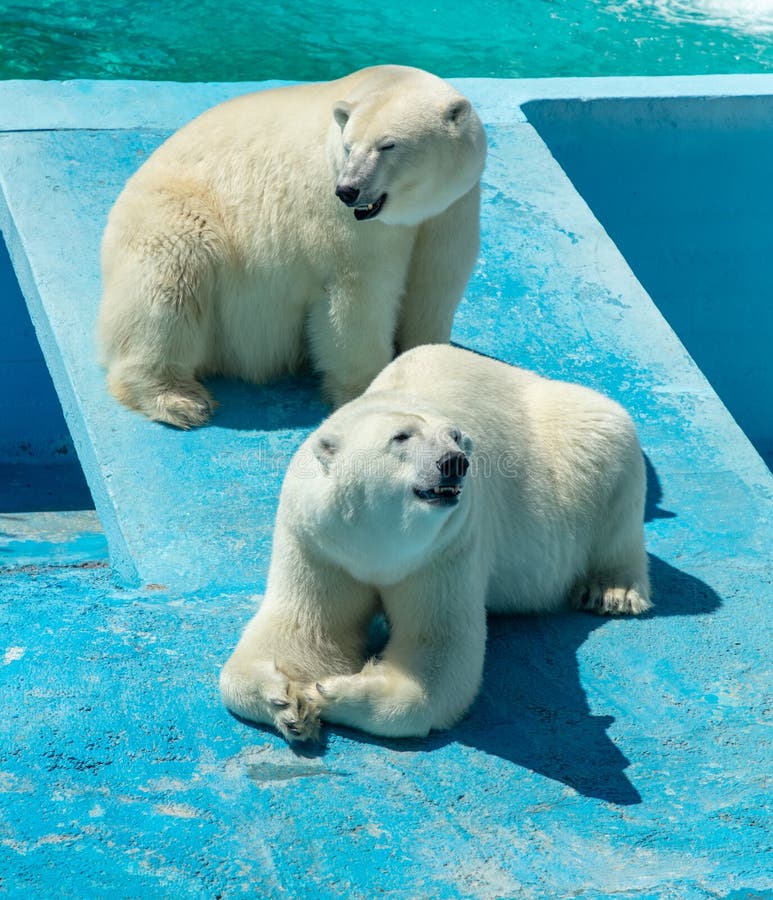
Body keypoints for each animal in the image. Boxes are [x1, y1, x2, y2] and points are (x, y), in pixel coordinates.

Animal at [98, 66, 487, 428]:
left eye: (388, 145)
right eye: (349, 146)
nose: (348, 190)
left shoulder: (453, 208)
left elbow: (434, 285)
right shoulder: (346, 224)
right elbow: (358, 296)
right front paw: (365, 394)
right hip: (180, 219)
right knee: (171, 287)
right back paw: (180, 399)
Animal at [219, 344, 651, 742]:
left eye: (455, 435)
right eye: (401, 437)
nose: (454, 461)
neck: (378, 543)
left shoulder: (446, 548)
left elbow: (437, 652)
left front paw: (334, 692)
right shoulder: (319, 541)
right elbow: (301, 630)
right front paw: (287, 702)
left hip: (578, 449)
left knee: (614, 466)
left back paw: (612, 590)